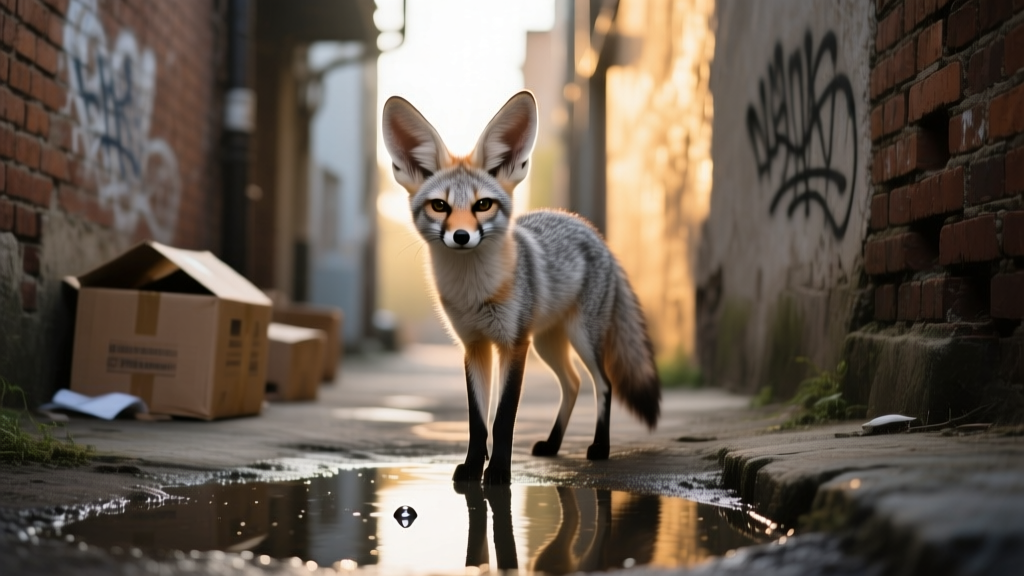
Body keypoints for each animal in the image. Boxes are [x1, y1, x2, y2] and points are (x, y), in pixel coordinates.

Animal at [382, 90, 660, 485]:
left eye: (483, 205)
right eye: (440, 206)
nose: (462, 236)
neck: (475, 292)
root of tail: (590, 229)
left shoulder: (512, 344)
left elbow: (503, 418)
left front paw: (498, 471)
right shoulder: (475, 346)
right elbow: (479, 422)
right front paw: (472, 468)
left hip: (580, 338)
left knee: (602, 384)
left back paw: (600, 448)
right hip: (546, 343)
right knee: (573, 384)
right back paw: (553, 444)